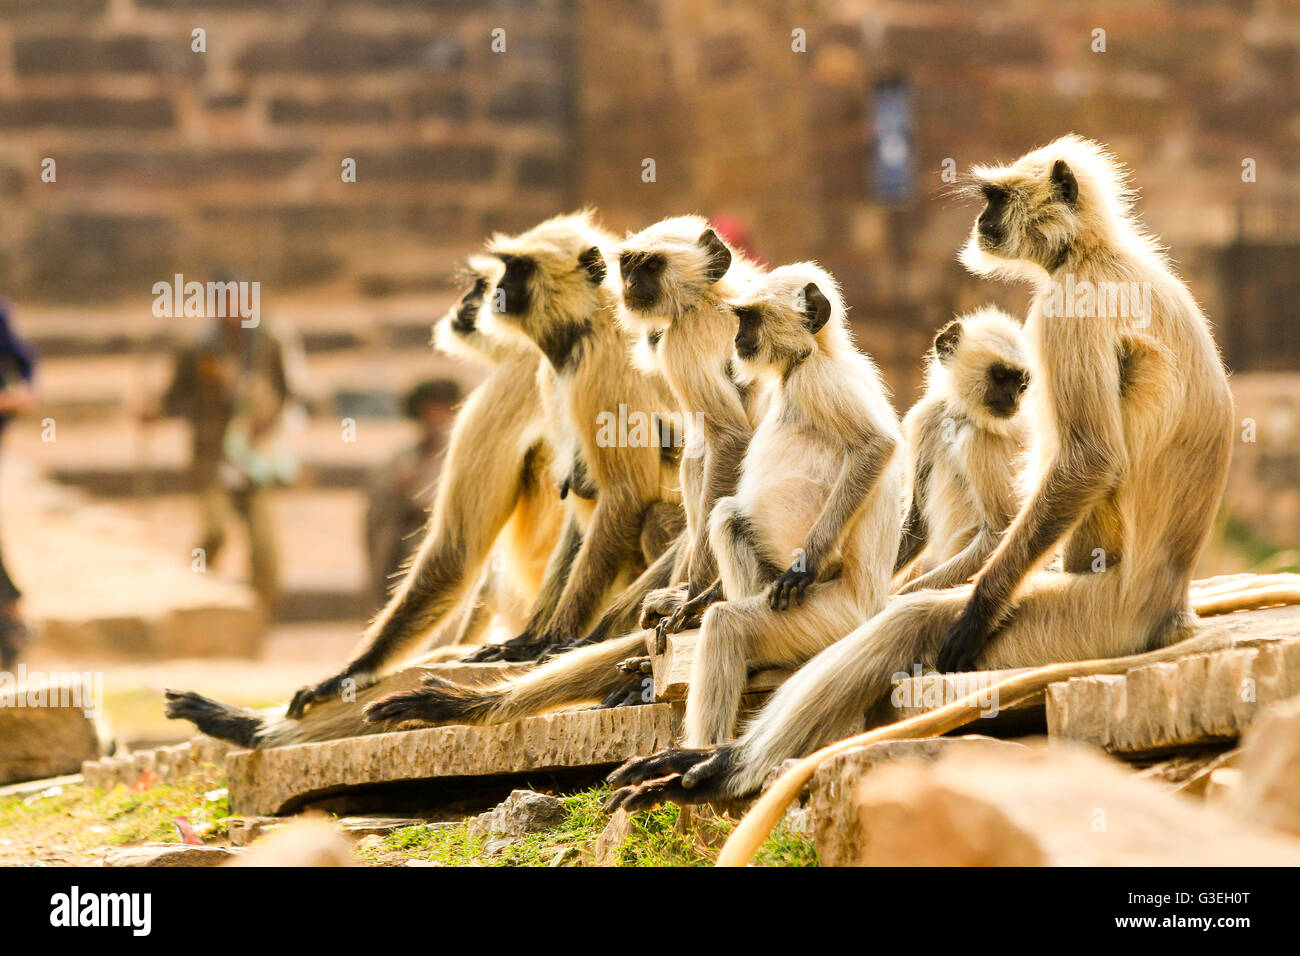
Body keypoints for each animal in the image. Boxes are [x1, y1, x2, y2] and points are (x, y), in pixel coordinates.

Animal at [892, 306, 1032, 595]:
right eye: (1000, 376)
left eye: (1021, 383)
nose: (1013, 398)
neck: (964, 417)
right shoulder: (929, 418)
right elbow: (917, 523)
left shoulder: (977, 443)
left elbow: (999, 535)